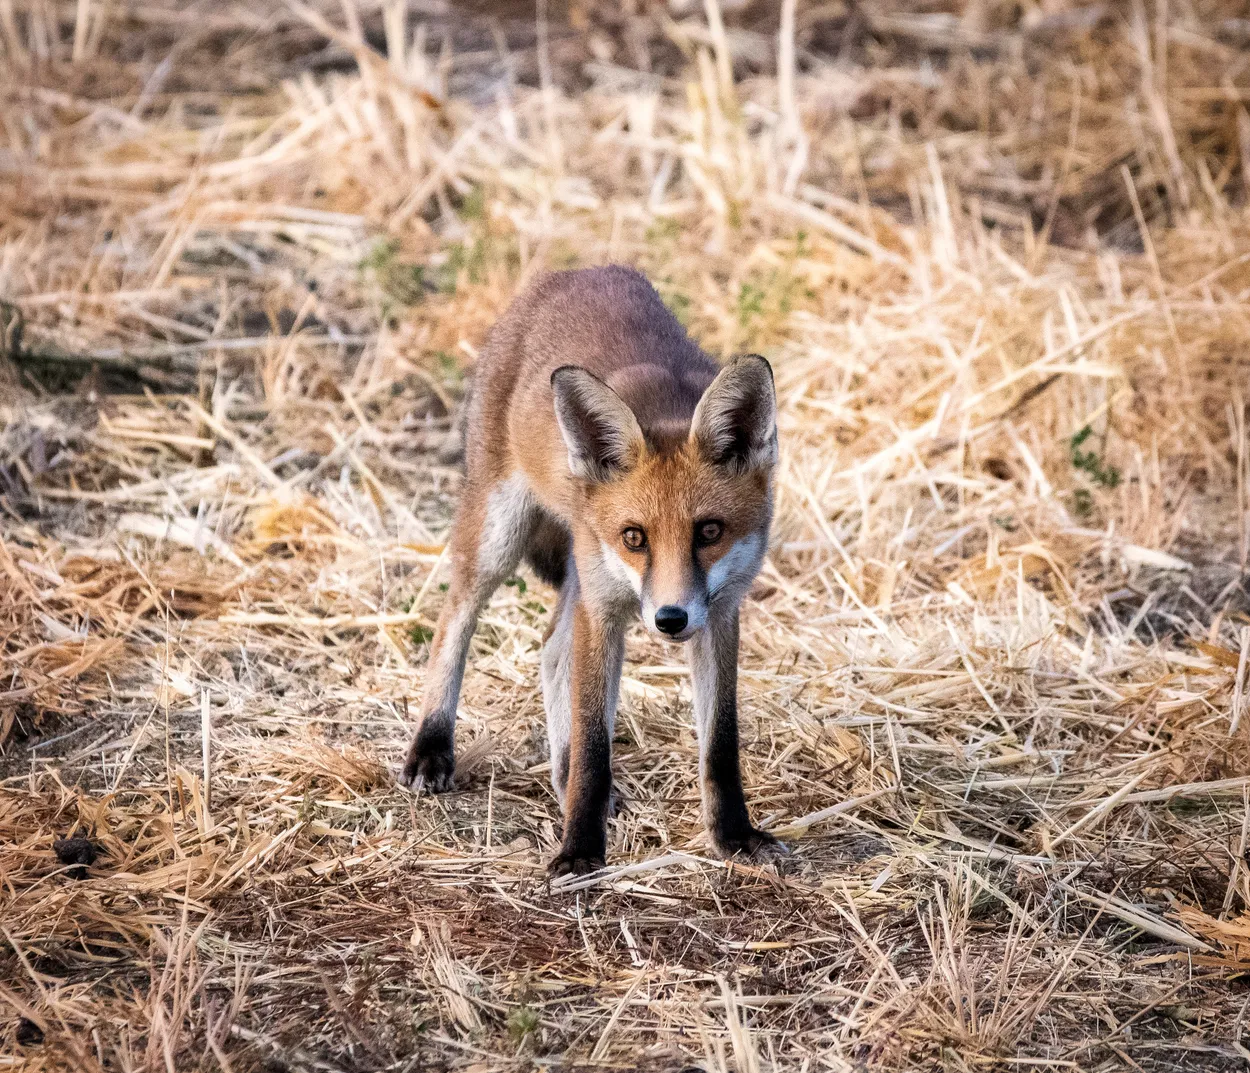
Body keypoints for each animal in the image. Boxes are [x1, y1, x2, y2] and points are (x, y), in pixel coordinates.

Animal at [400, 265, 787, 876]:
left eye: (709, 532)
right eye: (635, 537)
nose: (670, 619)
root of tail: (578, 271)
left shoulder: (720, 612)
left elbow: (720, 745)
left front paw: (734, 837)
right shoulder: (604, 610)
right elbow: (592, 745)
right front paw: (579, 849)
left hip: (579, 570)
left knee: (550, 650)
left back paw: (562, 779)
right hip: (499, 536)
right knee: (453, 622)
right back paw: (431, 747)